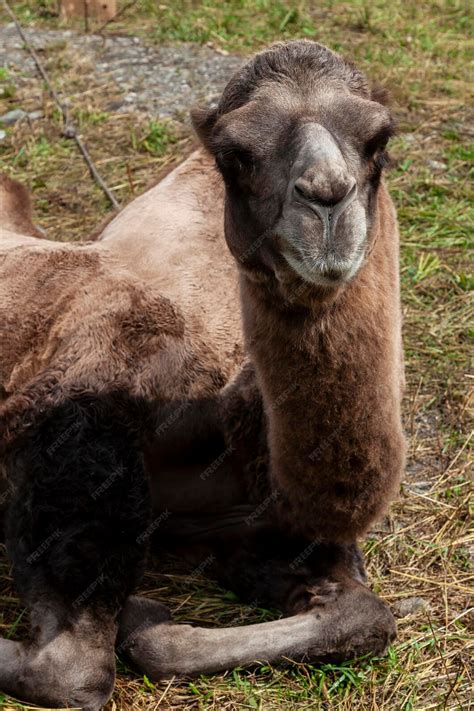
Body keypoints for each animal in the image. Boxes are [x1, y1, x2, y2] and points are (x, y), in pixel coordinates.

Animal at [0, 40, 405, 710]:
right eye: (233, 155)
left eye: (380, 139)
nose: (326, 198)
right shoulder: (74, 419)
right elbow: (72, 667)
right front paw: (140, 616)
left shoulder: (267, 532)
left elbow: (365, 615)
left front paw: (146, 618)